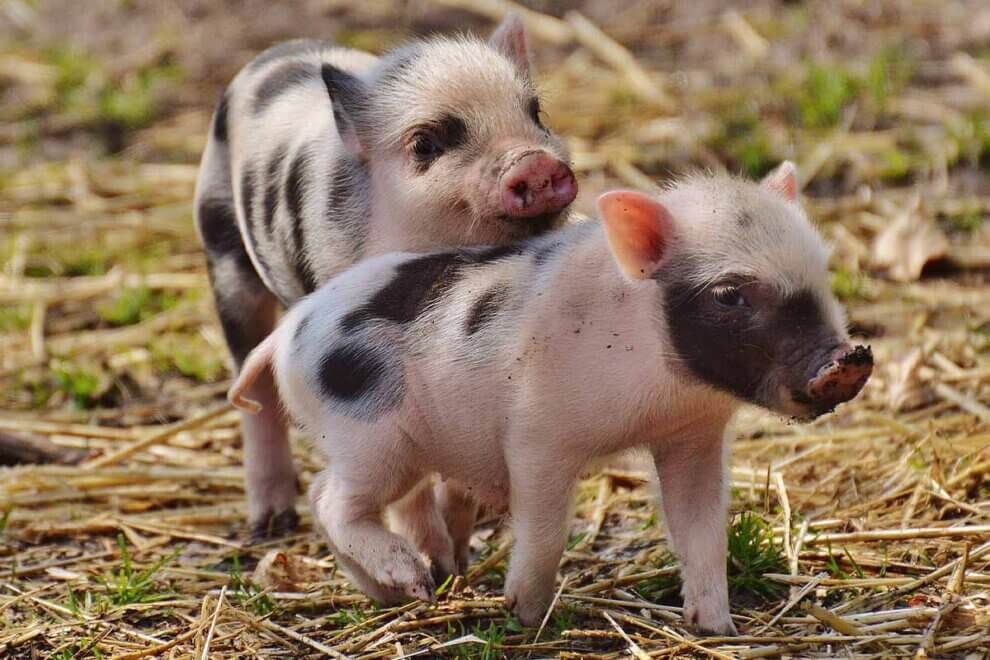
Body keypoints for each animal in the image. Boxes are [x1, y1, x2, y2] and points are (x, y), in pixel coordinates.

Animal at [193, 15, 577, 538]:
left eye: (536, 113)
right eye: (426, 143)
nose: (533, 162)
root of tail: (273, 52)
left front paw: (460, 533)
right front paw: (433, 555)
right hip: (223, 249)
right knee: (254, 385)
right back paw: (271, 524)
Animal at [228, 164, 873, 634]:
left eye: (822, 271)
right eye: (730, 295)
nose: (848, 361)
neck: (662, 389)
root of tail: (288, 333)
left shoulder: (692, 438)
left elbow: (702, 532)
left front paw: (717, 629)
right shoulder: (537, 435)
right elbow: (544, 529)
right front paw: (522, 616)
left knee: (334, 503)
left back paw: (397, 594)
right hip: (369, 436)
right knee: (330, 500)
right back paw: (413, 580)